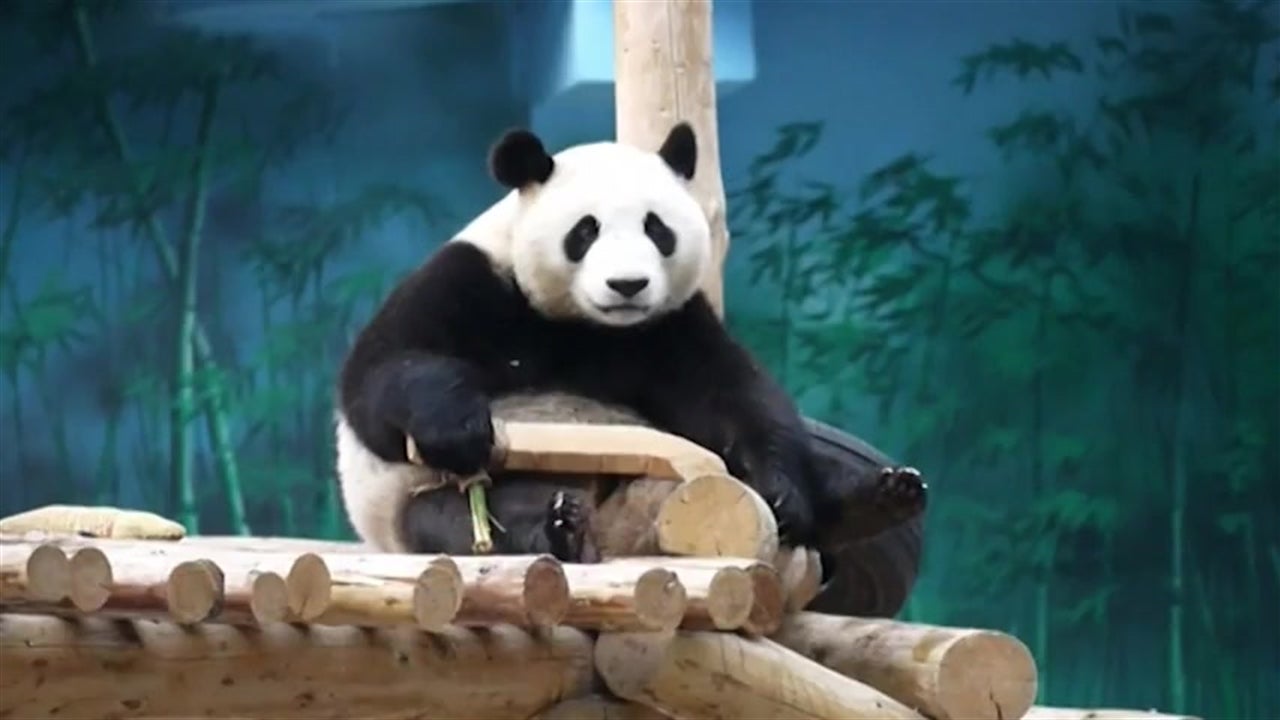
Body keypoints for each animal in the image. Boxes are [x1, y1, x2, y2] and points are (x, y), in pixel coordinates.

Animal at [335, 122, 844, 564]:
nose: (627, 285)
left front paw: (783, 495)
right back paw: (559, 529)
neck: (587, 325)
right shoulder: (470, 280)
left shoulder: (669, 325)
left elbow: (732, 394)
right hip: (417, 501)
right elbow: (382, 374)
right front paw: (456, 427)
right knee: (464, 516)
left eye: (656, 228)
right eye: (585, 230)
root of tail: (622, 530)